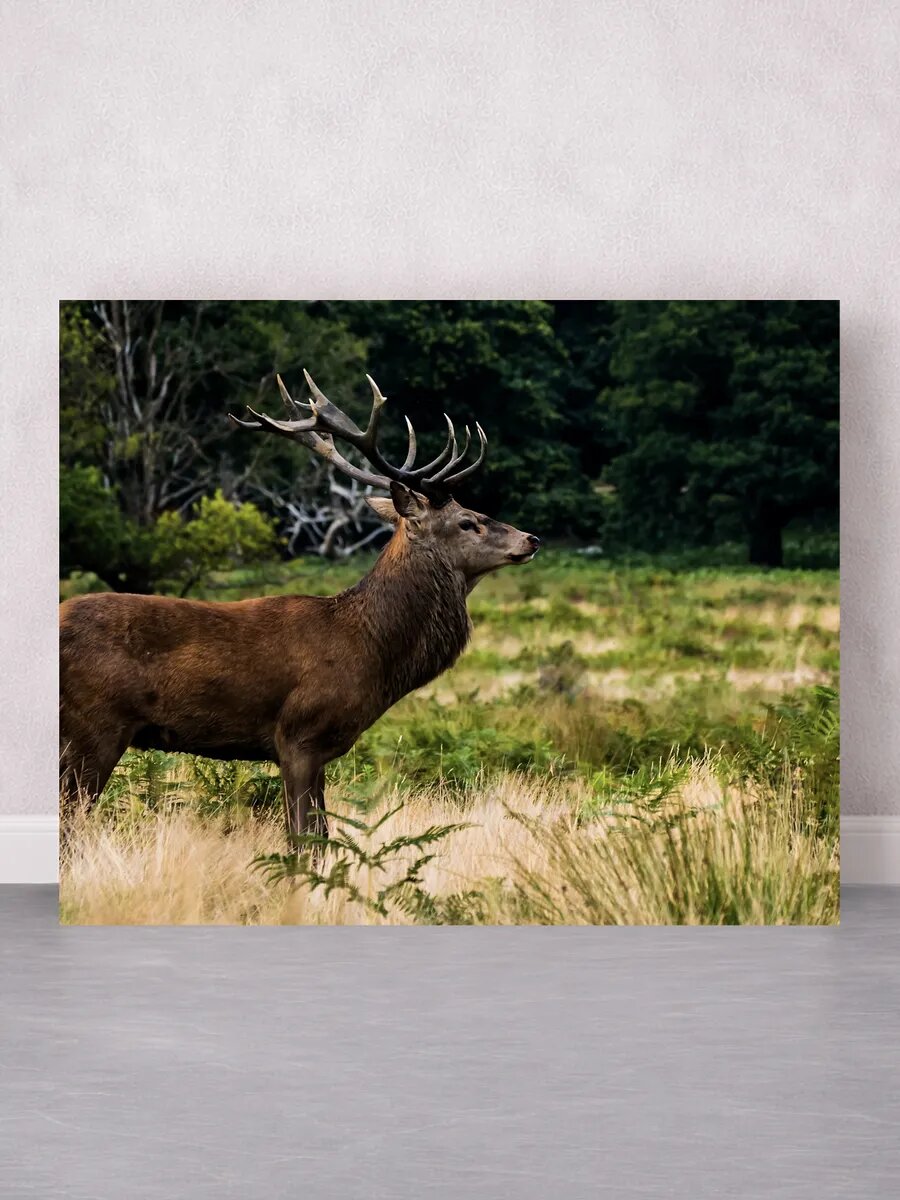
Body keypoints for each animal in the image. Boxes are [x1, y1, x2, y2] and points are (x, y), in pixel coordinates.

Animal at [59, 370, 540, 846]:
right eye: (467, 522)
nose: (531, 539)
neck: (371, 651)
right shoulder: (298, 735)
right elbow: (303, 839)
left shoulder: (320, 749)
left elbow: (322, 836)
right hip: (95, 725)